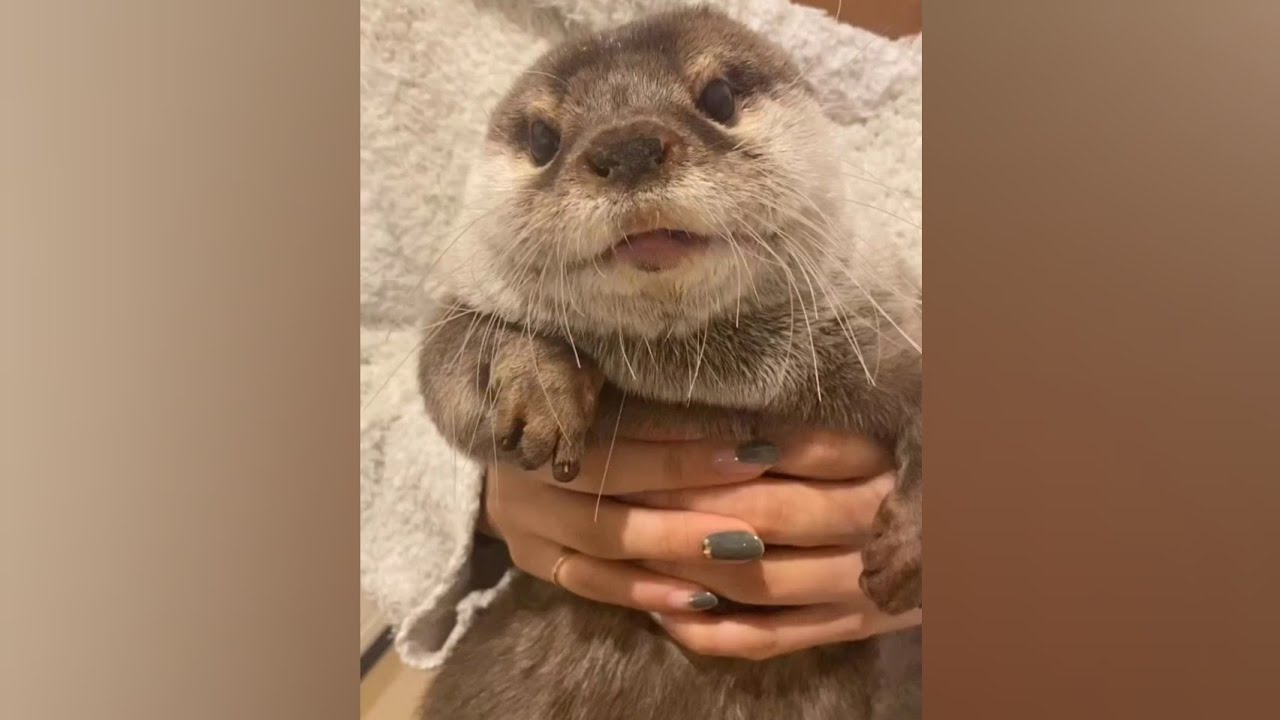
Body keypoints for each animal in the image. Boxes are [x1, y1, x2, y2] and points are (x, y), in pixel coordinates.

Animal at [416, 7, 922, 719]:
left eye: (719, 97)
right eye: (543, 137)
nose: (627, 148)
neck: (712, 376)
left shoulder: (883, 337)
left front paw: (910, 549)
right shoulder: (457, 330)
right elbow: (451, 361)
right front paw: (538, 388)